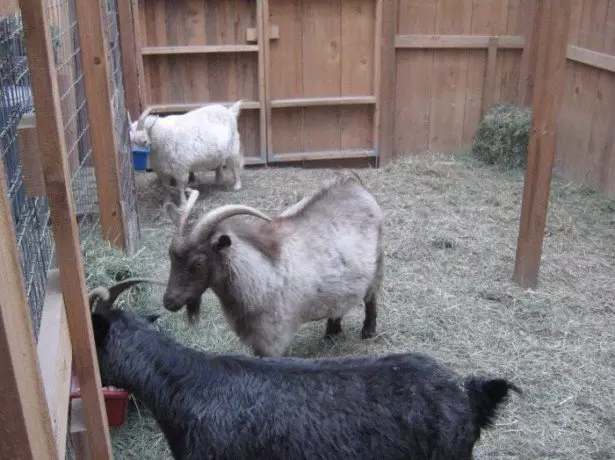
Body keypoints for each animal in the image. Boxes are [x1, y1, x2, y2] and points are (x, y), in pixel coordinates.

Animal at [162, 171, 384, 358]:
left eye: (198, 262)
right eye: (171, 256)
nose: (169, 302)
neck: (259, 272)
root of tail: (351, 181)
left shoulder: (271, 339)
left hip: (376, 265)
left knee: (371, 298)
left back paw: (368, 331)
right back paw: (332, 332)